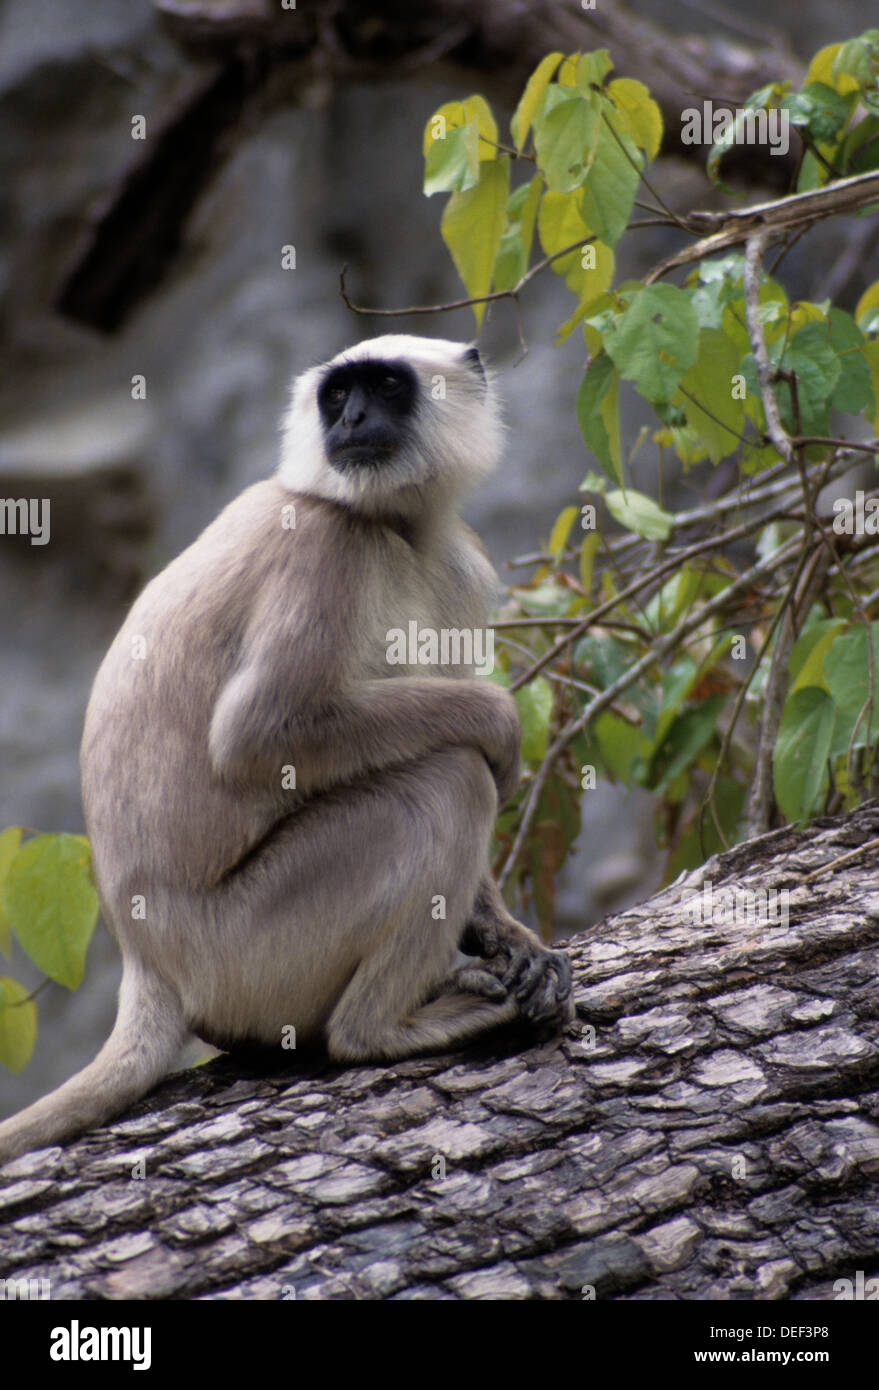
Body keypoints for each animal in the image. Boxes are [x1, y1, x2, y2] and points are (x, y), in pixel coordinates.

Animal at [0, 334, 573, 1166]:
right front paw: (499, 725)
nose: (352, 420)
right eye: (337, 398)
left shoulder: (461, 564)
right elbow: (262, 734)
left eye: (384, 388)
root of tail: (148, 963)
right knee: (447, 781)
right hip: (246, 948)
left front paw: (508, 938)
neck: (394, 528)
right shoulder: (325, 543)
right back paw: (379, 1032)